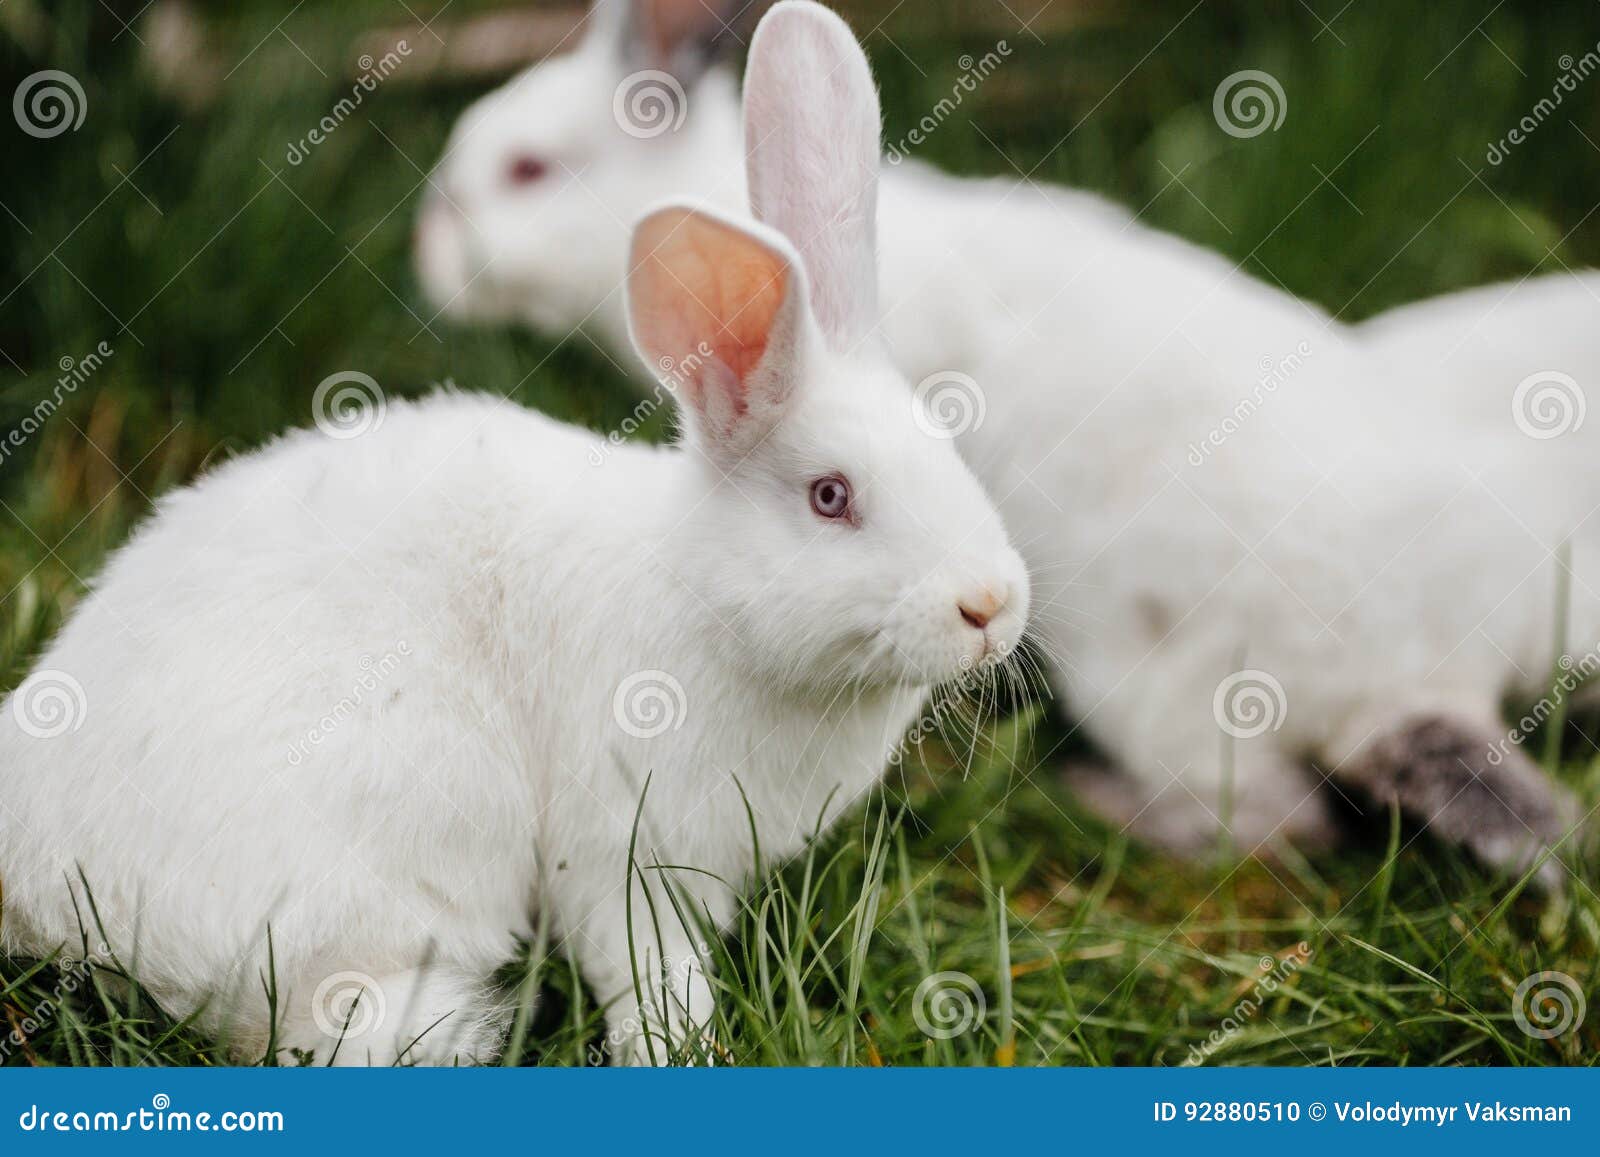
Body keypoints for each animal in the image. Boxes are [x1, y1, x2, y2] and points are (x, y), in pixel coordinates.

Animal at [0, 0, 1029, 1066]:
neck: (705, 595)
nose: (993, 605)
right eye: (831, 496)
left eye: (950, 447)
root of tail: (33, 888)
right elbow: (644, 967)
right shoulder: (624, 850)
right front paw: (681, 1046)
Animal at [416, 0, 1592, 882]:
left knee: (1271, 823)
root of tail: (1427, 675)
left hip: (1156, 684)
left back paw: (1101, 800)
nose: (429, 248)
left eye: (526, 169)